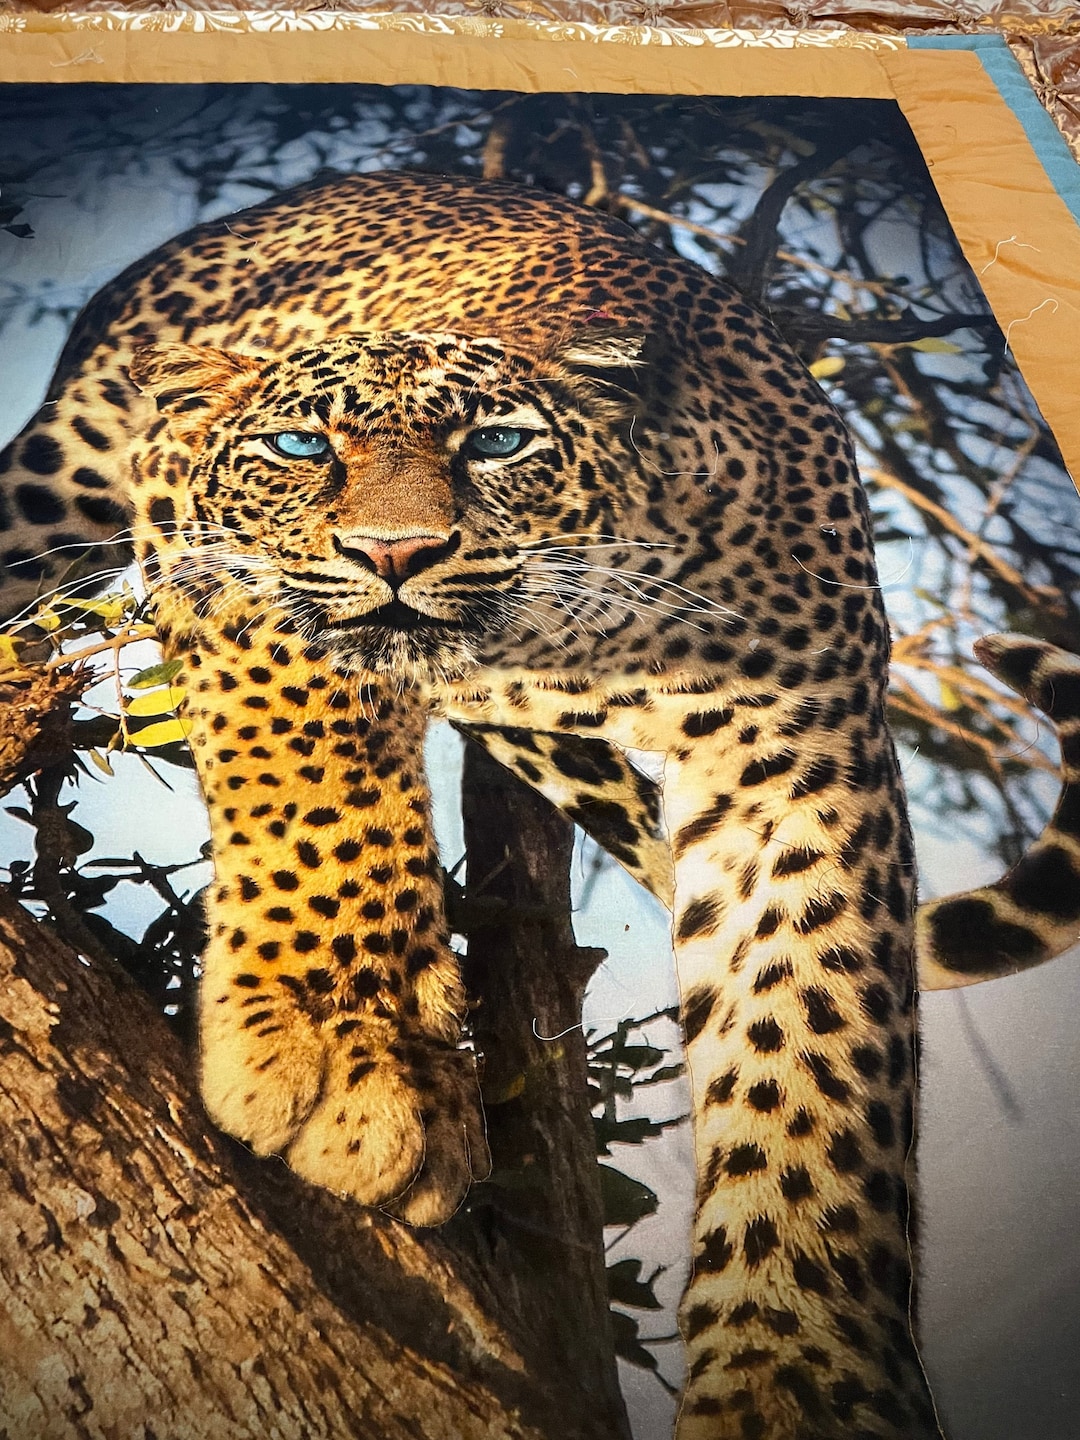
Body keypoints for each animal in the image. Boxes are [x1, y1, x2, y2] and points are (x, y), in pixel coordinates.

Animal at [2, 169, 1079, 1440]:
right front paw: (349, 1048)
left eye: (499, 444)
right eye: (299, 446)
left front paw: (799, 1377)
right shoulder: (222, 548)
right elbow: (320, 779)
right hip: (57, 469)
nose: (395, 553)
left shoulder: (799, 763)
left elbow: (810, 1035)